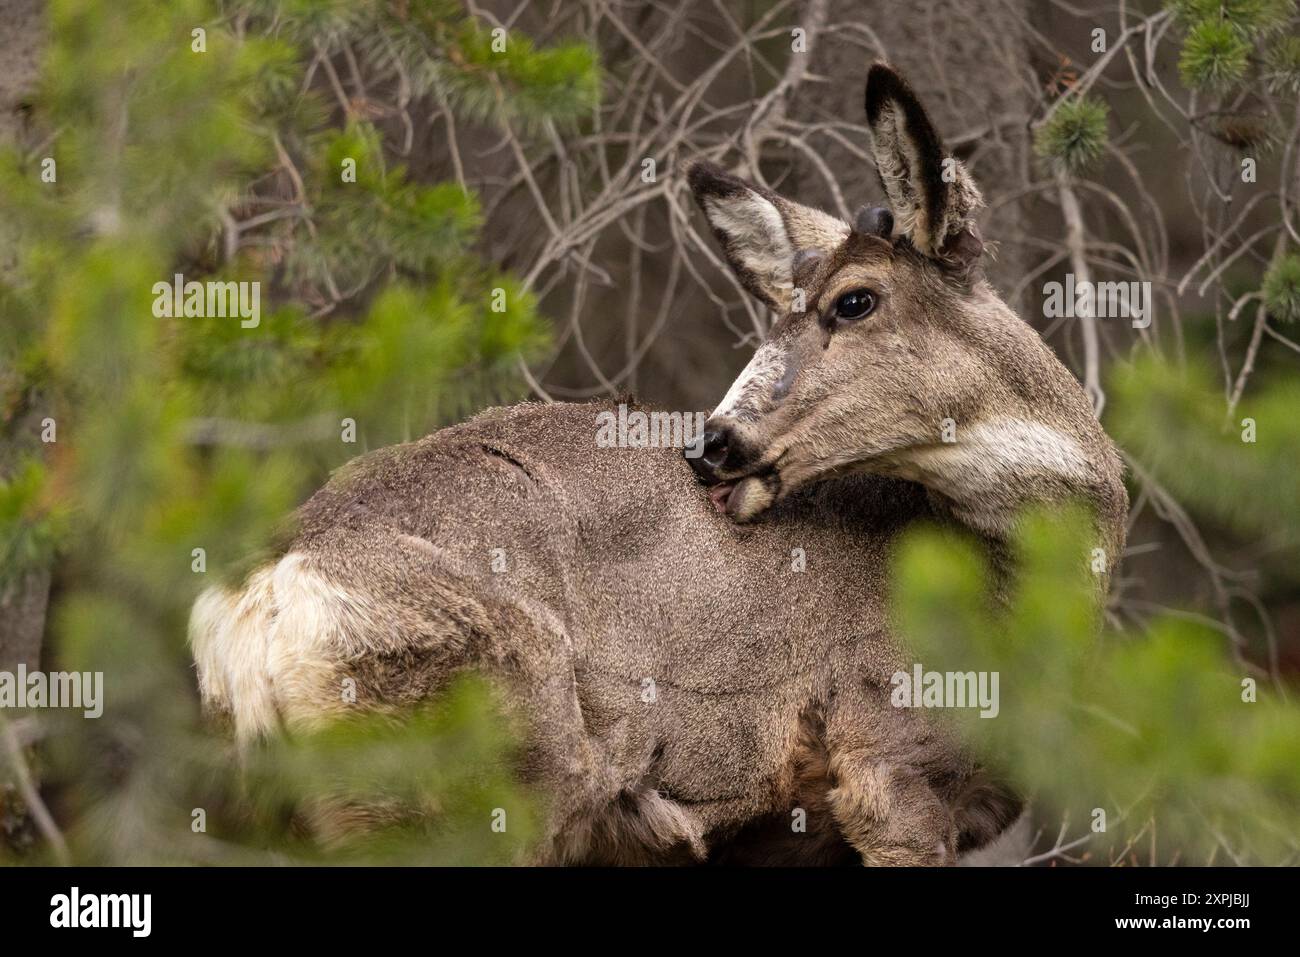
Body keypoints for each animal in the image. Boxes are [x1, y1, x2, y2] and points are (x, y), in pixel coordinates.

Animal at [190, 63, 1127, 866]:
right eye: (776, 314)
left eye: (853, 300)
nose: (712, 442)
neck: (1010, 580)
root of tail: (263, 594)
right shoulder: (886, 763)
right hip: (474, 774)